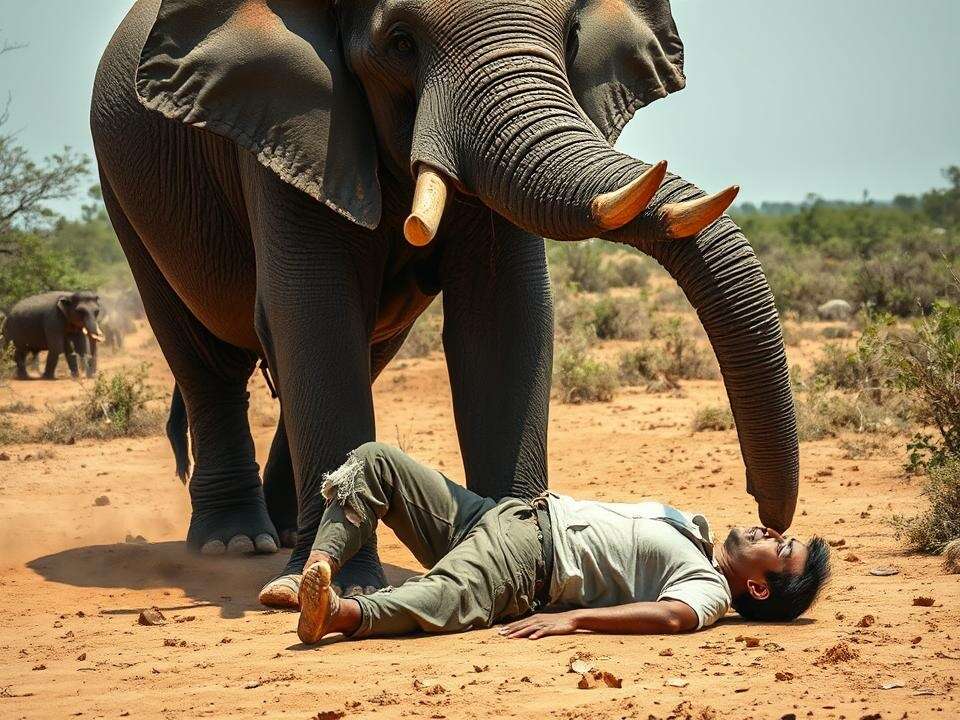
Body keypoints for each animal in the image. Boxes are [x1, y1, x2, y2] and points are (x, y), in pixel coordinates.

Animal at [90, 0, 799, 606]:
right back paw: (236, 543)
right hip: (128, 197)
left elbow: (504, 314)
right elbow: (316, 316)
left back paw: (286, 535)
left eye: (568, 37)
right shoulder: (287, 120)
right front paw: (349, 587)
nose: (767, 518)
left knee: (351, 354)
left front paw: (512, 526)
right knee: (204, 360)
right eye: (400, 43)